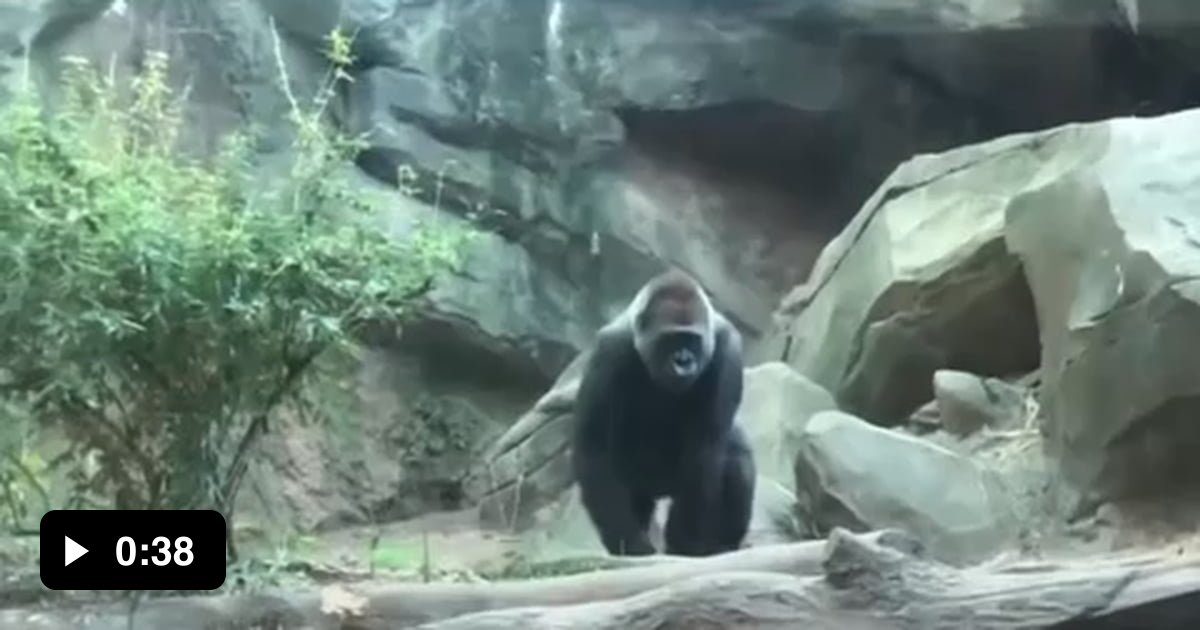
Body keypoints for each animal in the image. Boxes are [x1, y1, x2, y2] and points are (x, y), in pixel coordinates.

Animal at [570, 268, 756, 557]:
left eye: (691, 340)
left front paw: (683, 542)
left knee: (737, 457)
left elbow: (705, 449)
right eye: (670, 340)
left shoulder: (728, 350)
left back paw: (724, 544)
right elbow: (594, 448)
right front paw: (630, 543)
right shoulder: (608, 351)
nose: (683, 362)